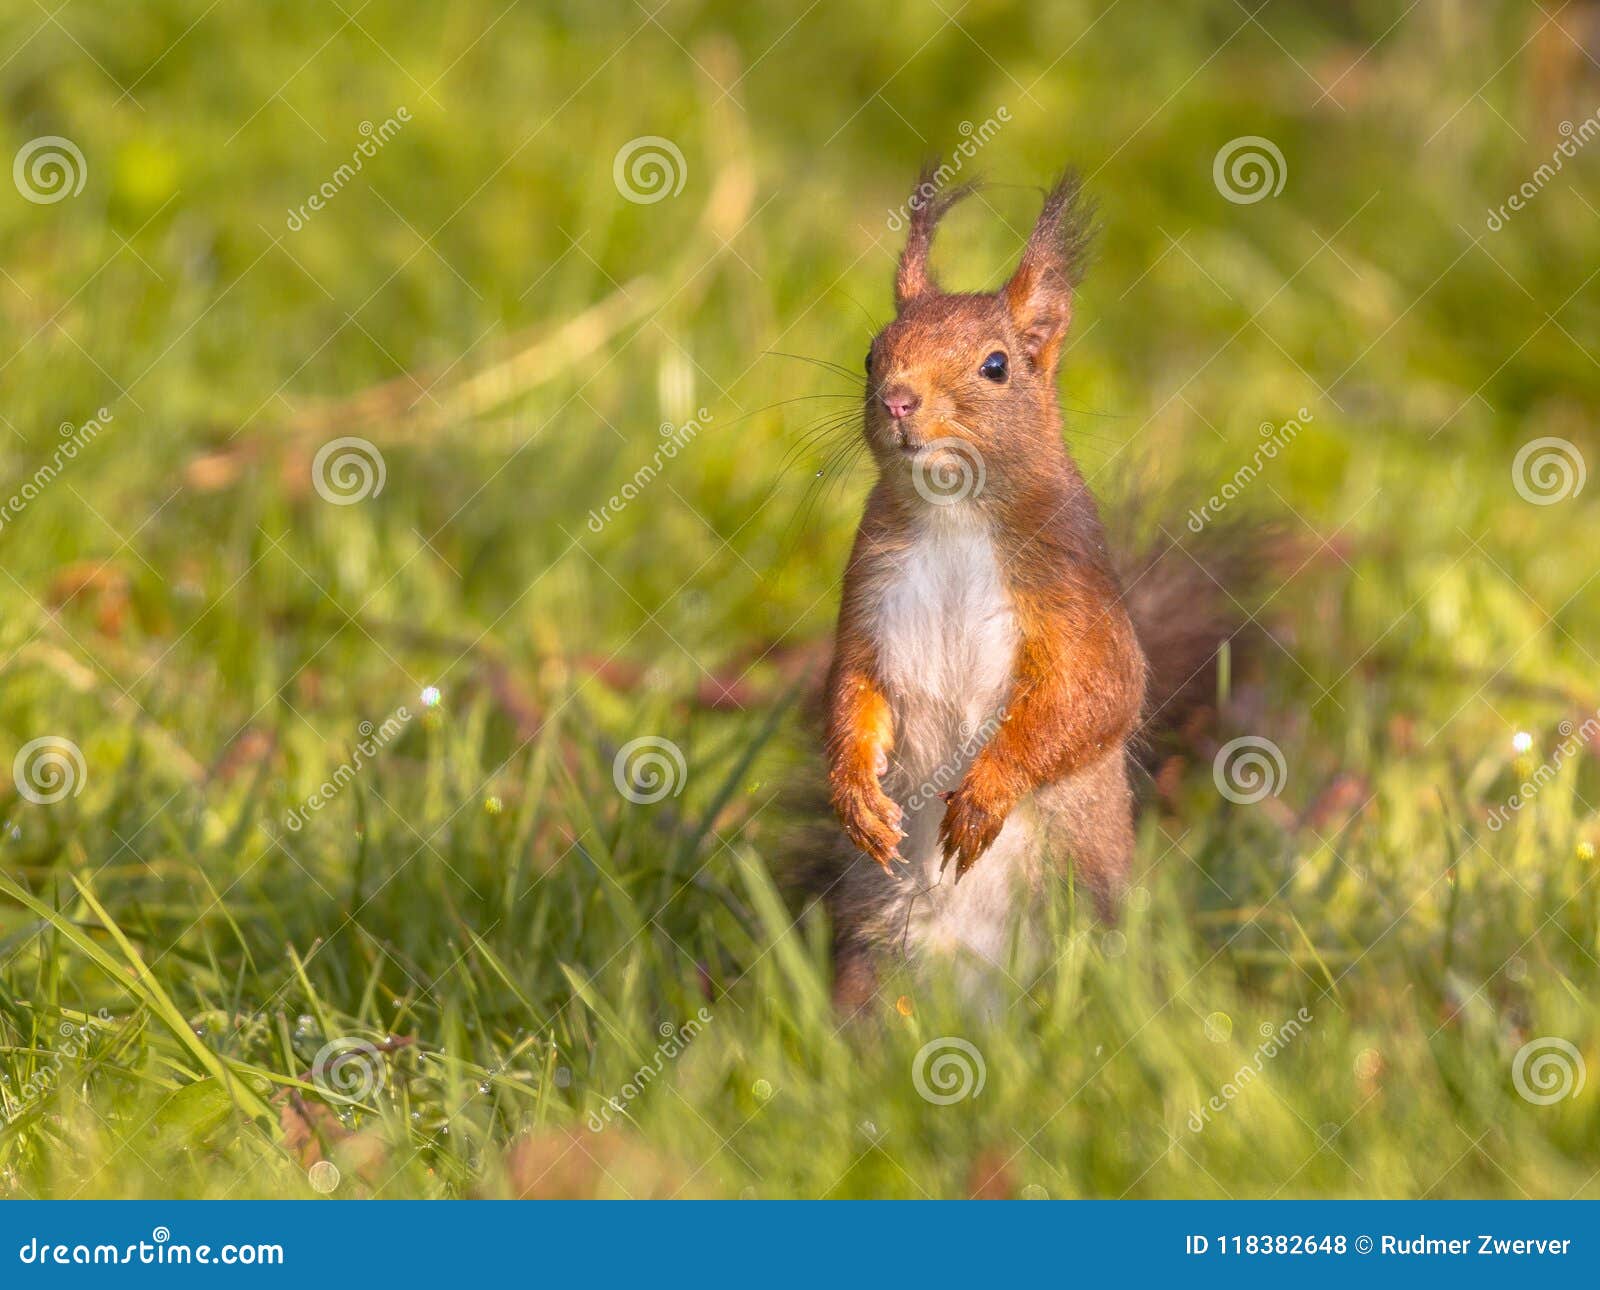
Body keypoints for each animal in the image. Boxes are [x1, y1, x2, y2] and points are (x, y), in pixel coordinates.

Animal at [800, 165, 1255, 1010]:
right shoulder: (870, 593)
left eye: (996, 365)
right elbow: (852, 687)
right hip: (875, 956)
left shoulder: (1070, 585)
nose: (898, 400)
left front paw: (987, 792)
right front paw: (856, 795)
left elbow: (1099, 694)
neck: (952, 514)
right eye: (872, 353)